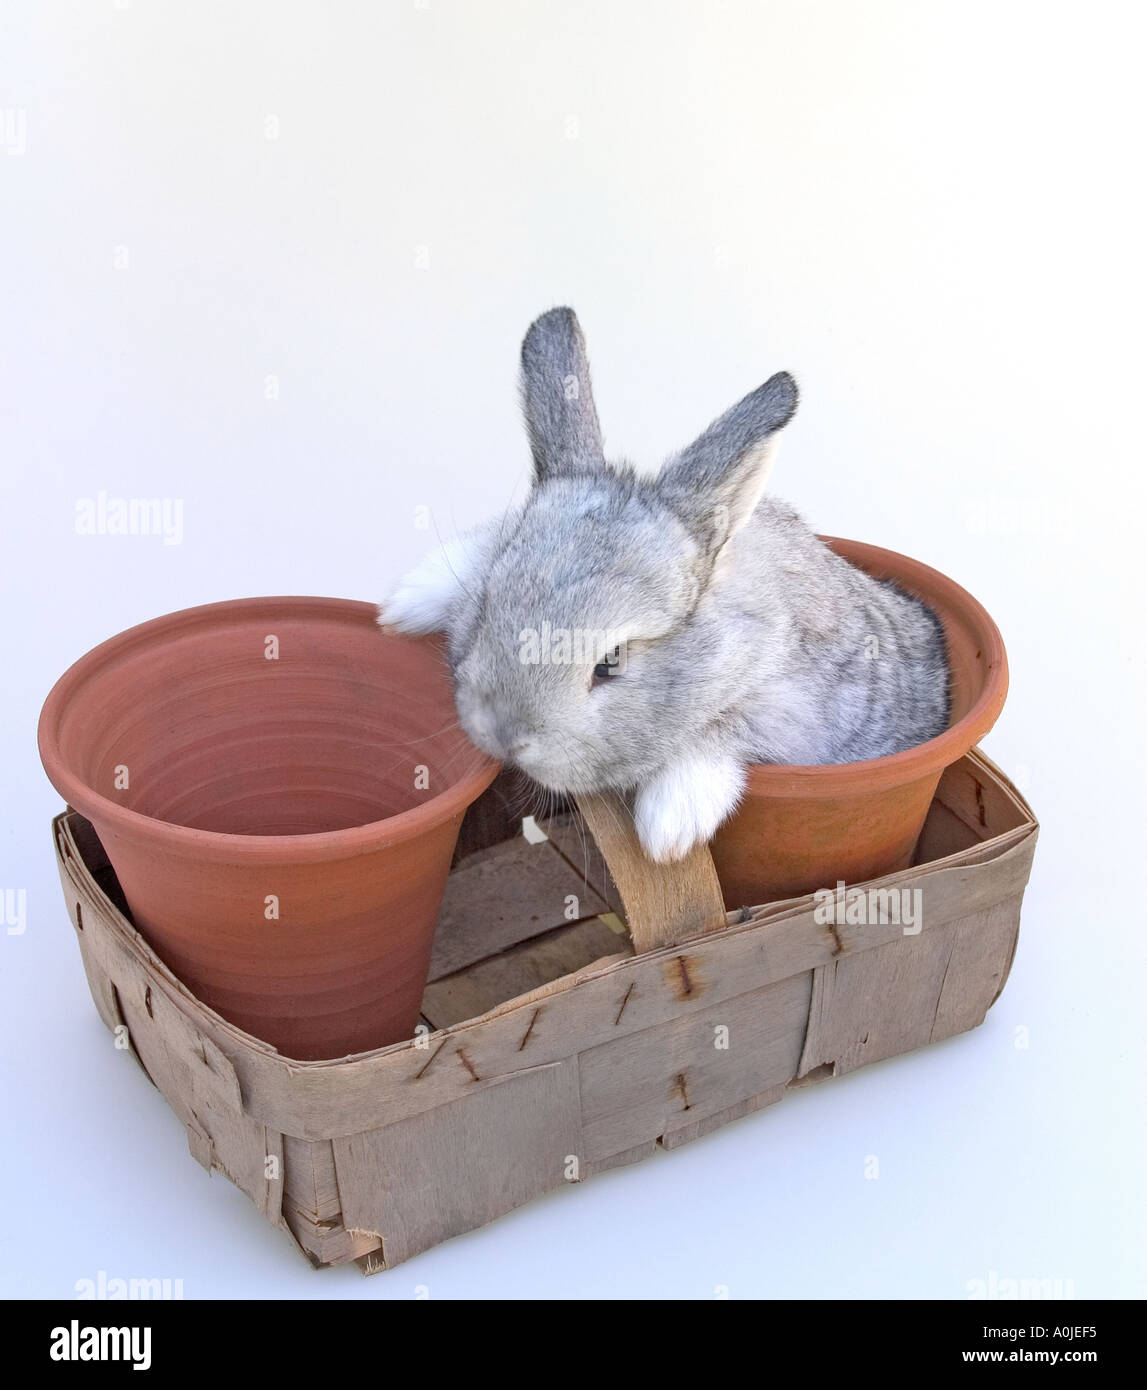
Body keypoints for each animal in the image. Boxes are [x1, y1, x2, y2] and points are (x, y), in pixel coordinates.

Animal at [381, 307, 949, 863]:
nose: (503, 734)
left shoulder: (793, 715)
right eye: (487, 607)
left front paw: (669, 830)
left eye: (610, 662)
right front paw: (402, 606)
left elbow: (720, 730)